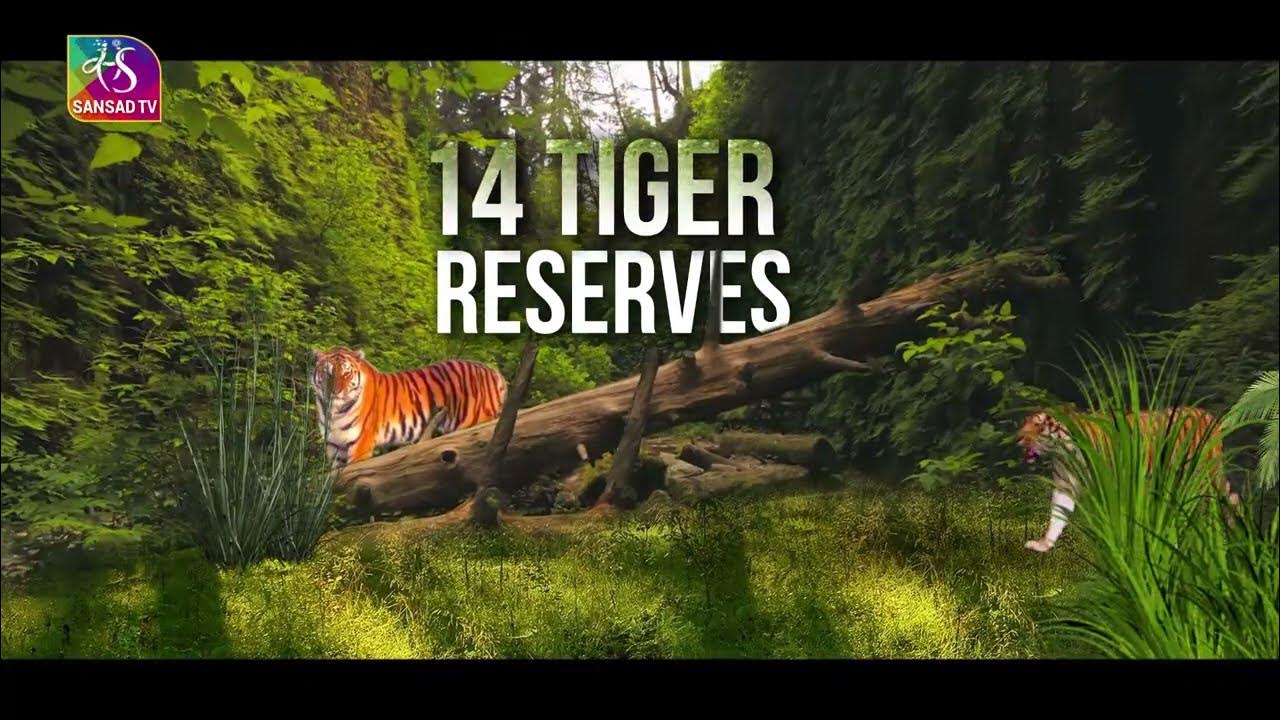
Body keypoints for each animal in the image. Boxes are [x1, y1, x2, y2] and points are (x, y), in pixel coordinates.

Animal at [311, 346, 508, 467]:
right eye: (327, 373)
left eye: (346, 373)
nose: (335, 392)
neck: (334, 411)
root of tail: (494, 372)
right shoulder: (334, 446)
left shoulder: (360, 446)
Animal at [1016, 407, 1240, 553]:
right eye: (1024, 424)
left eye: (1038, 425)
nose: (1017, 438)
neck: (1064, 452)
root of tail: (1210, 416)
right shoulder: (1065, 486)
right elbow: (1057, 515)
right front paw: (1044, 544)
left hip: (1199, 477)